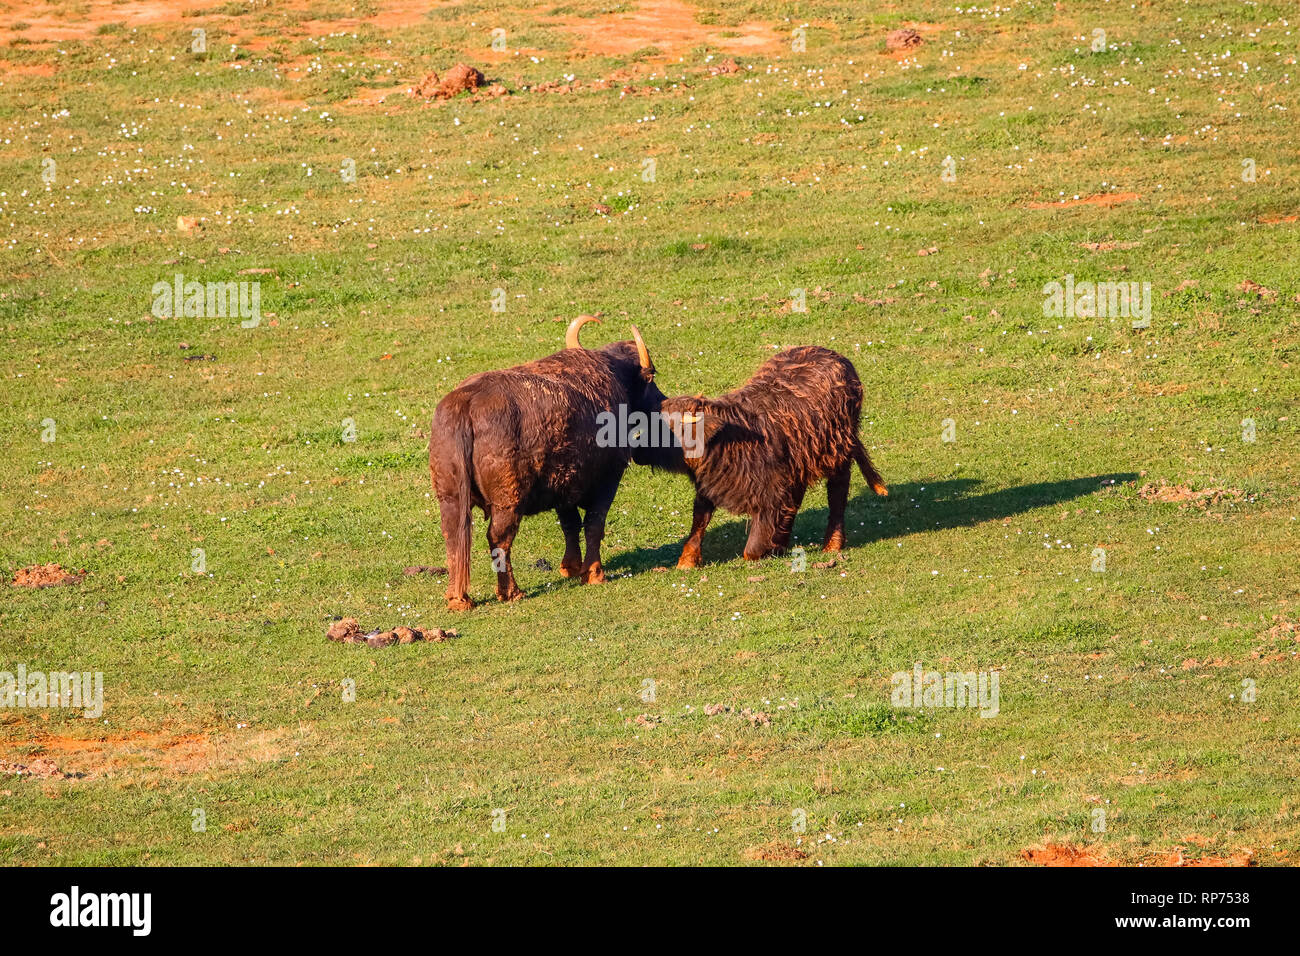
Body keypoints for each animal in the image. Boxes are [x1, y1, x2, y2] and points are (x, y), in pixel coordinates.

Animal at [429, 317, 663, 610]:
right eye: (651, 377)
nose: (663, 401)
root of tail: (466, 402)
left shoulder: (564, 488)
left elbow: (570, 525)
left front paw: (571, 568)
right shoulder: (607, 480)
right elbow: (593, 525)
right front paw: (594, 573)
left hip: (450, 498)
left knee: (455, 538)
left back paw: (459, 599)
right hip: (508, 504)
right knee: (499, 539)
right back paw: (512, 592)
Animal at [638, 345, 888, 567]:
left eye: (664, 428)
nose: (638, 450)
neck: (729, 441)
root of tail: (838, 357)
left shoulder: (770, 495)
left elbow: (751, 550)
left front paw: (766, 551)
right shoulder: (709, 486)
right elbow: (699, 522)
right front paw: (686, 562)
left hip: (839, 453)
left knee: (837, 494)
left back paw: (831, 545)